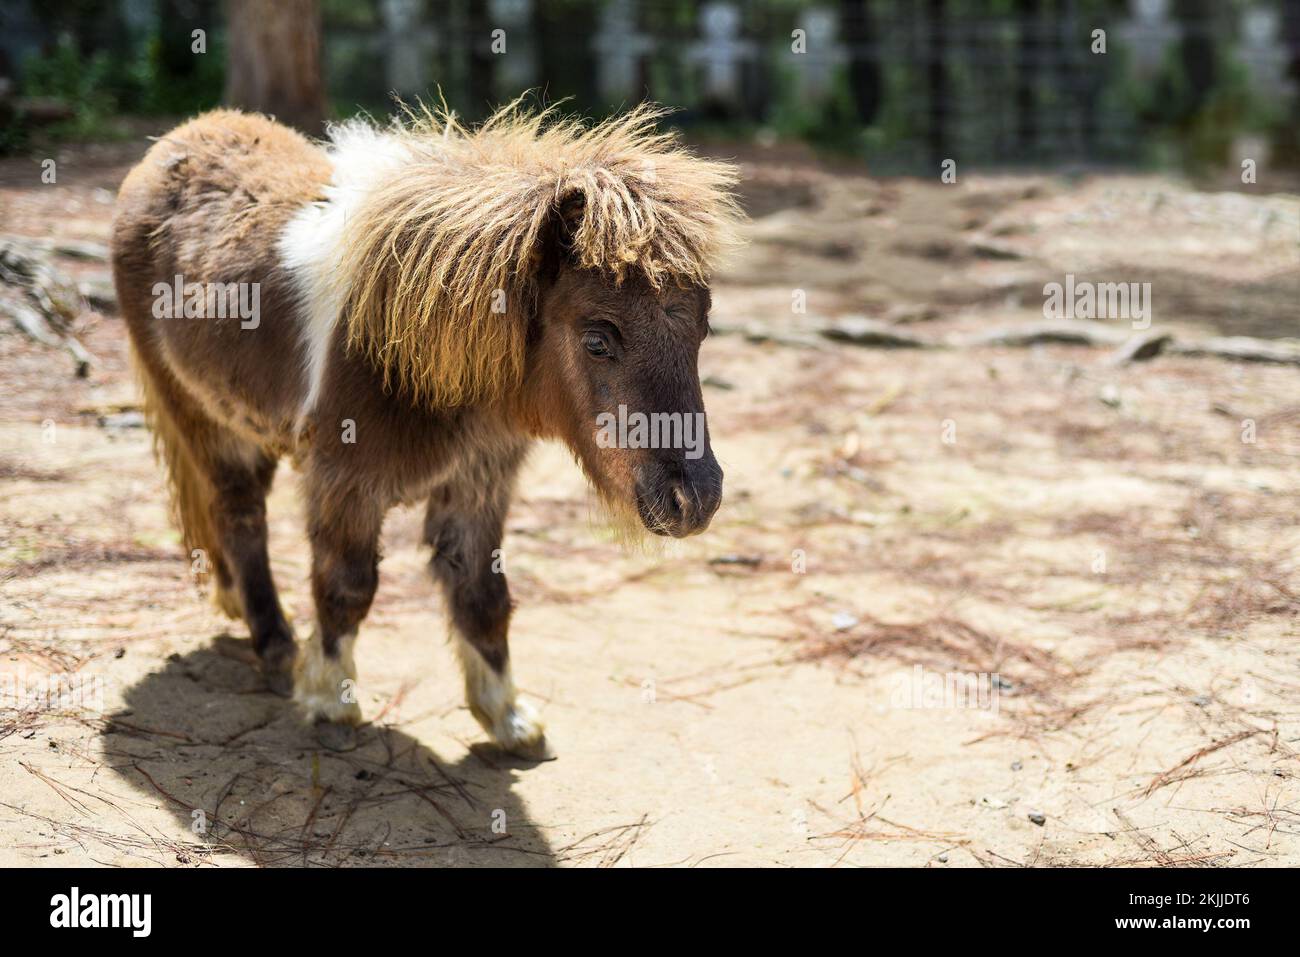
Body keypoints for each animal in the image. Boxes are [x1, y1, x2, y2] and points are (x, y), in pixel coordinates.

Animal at [110, 101, 742, 756]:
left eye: (702, 329)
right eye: (598, 339)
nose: (694, 500)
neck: (405, 354)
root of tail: (174, 144)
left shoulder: (477, 484)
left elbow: (482, 594)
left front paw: (508, 717)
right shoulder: (346, 484)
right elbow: (347, 585)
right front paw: (330, 700)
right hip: (202, 419)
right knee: (239, 517)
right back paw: (277, 646)